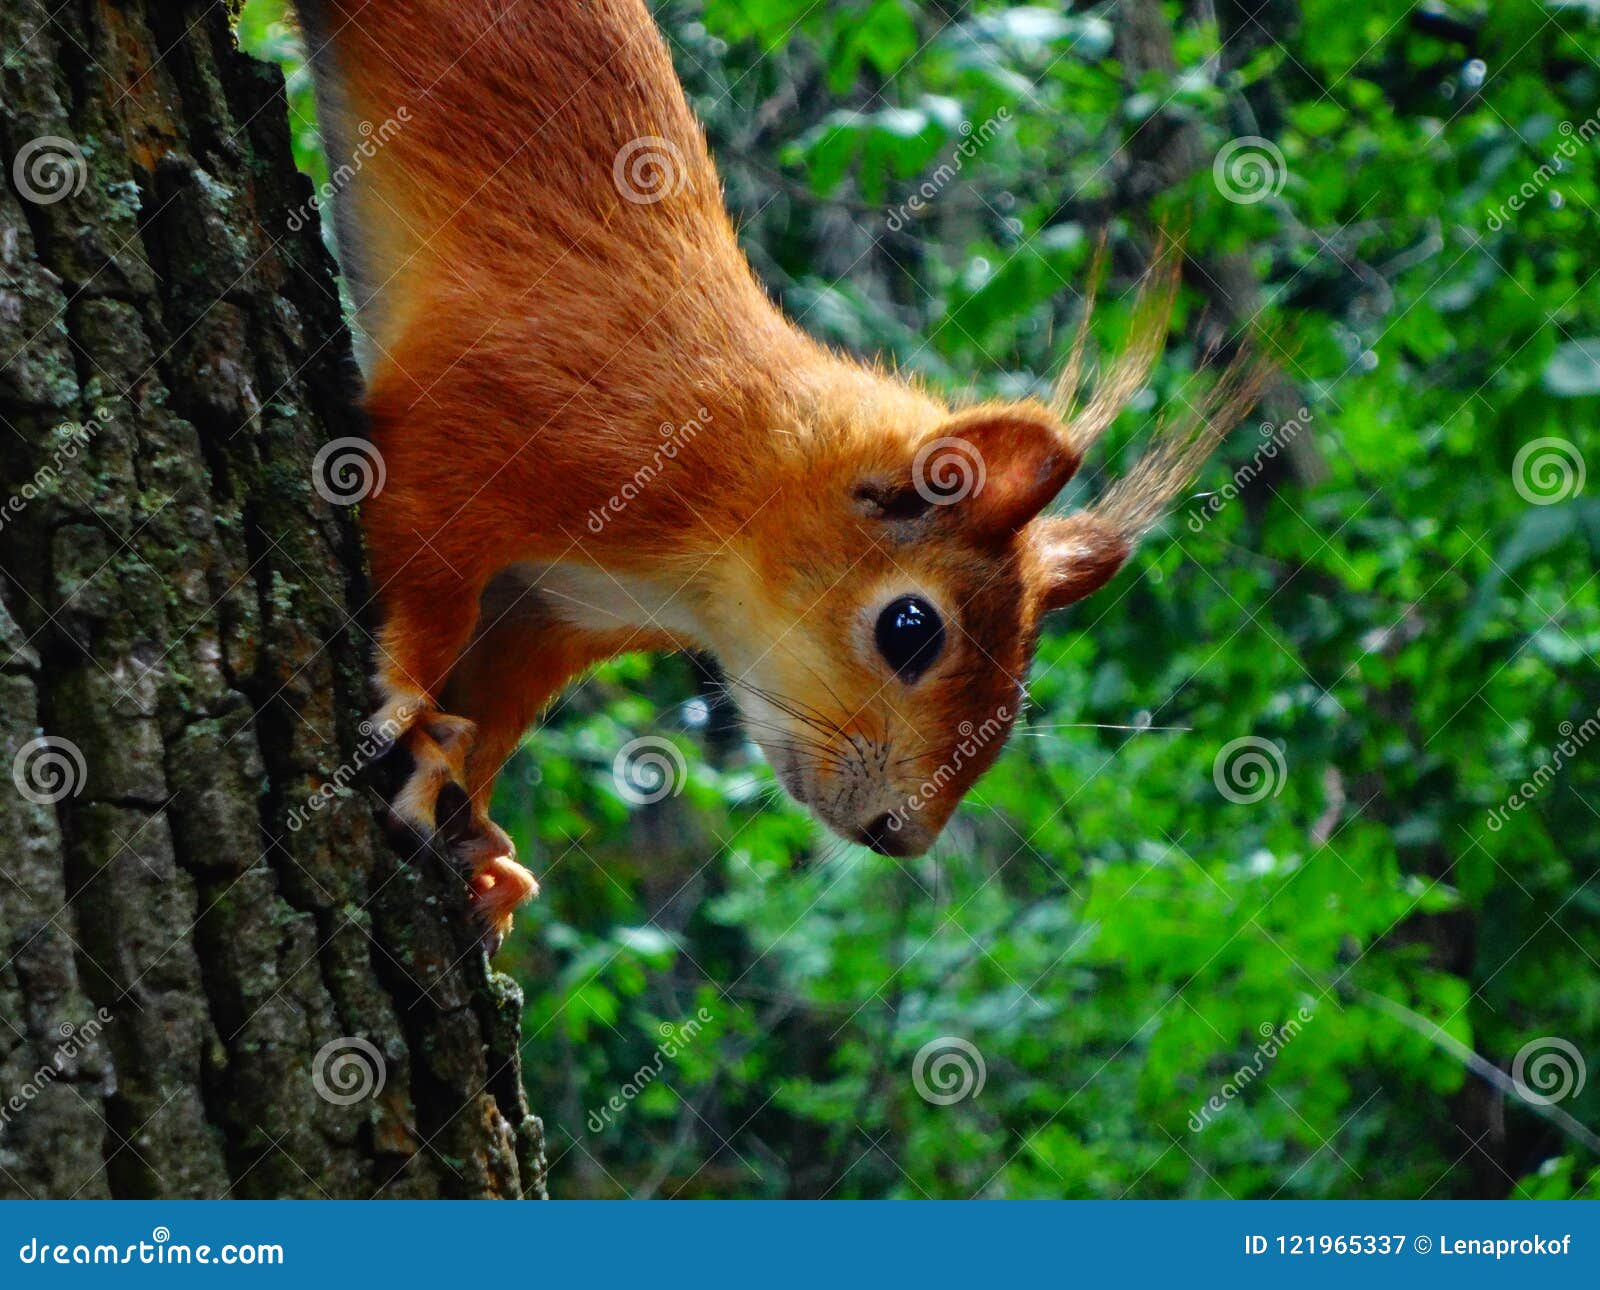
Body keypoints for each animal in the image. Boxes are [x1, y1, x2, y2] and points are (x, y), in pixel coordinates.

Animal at [290, 0, 1261, 949]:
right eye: (911, 628)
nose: (900, 836)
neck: (727, 489)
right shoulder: (488, 418)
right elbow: (424, 567)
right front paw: (418, 718)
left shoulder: (547, 609)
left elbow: (495, 705)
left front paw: (486, 848)